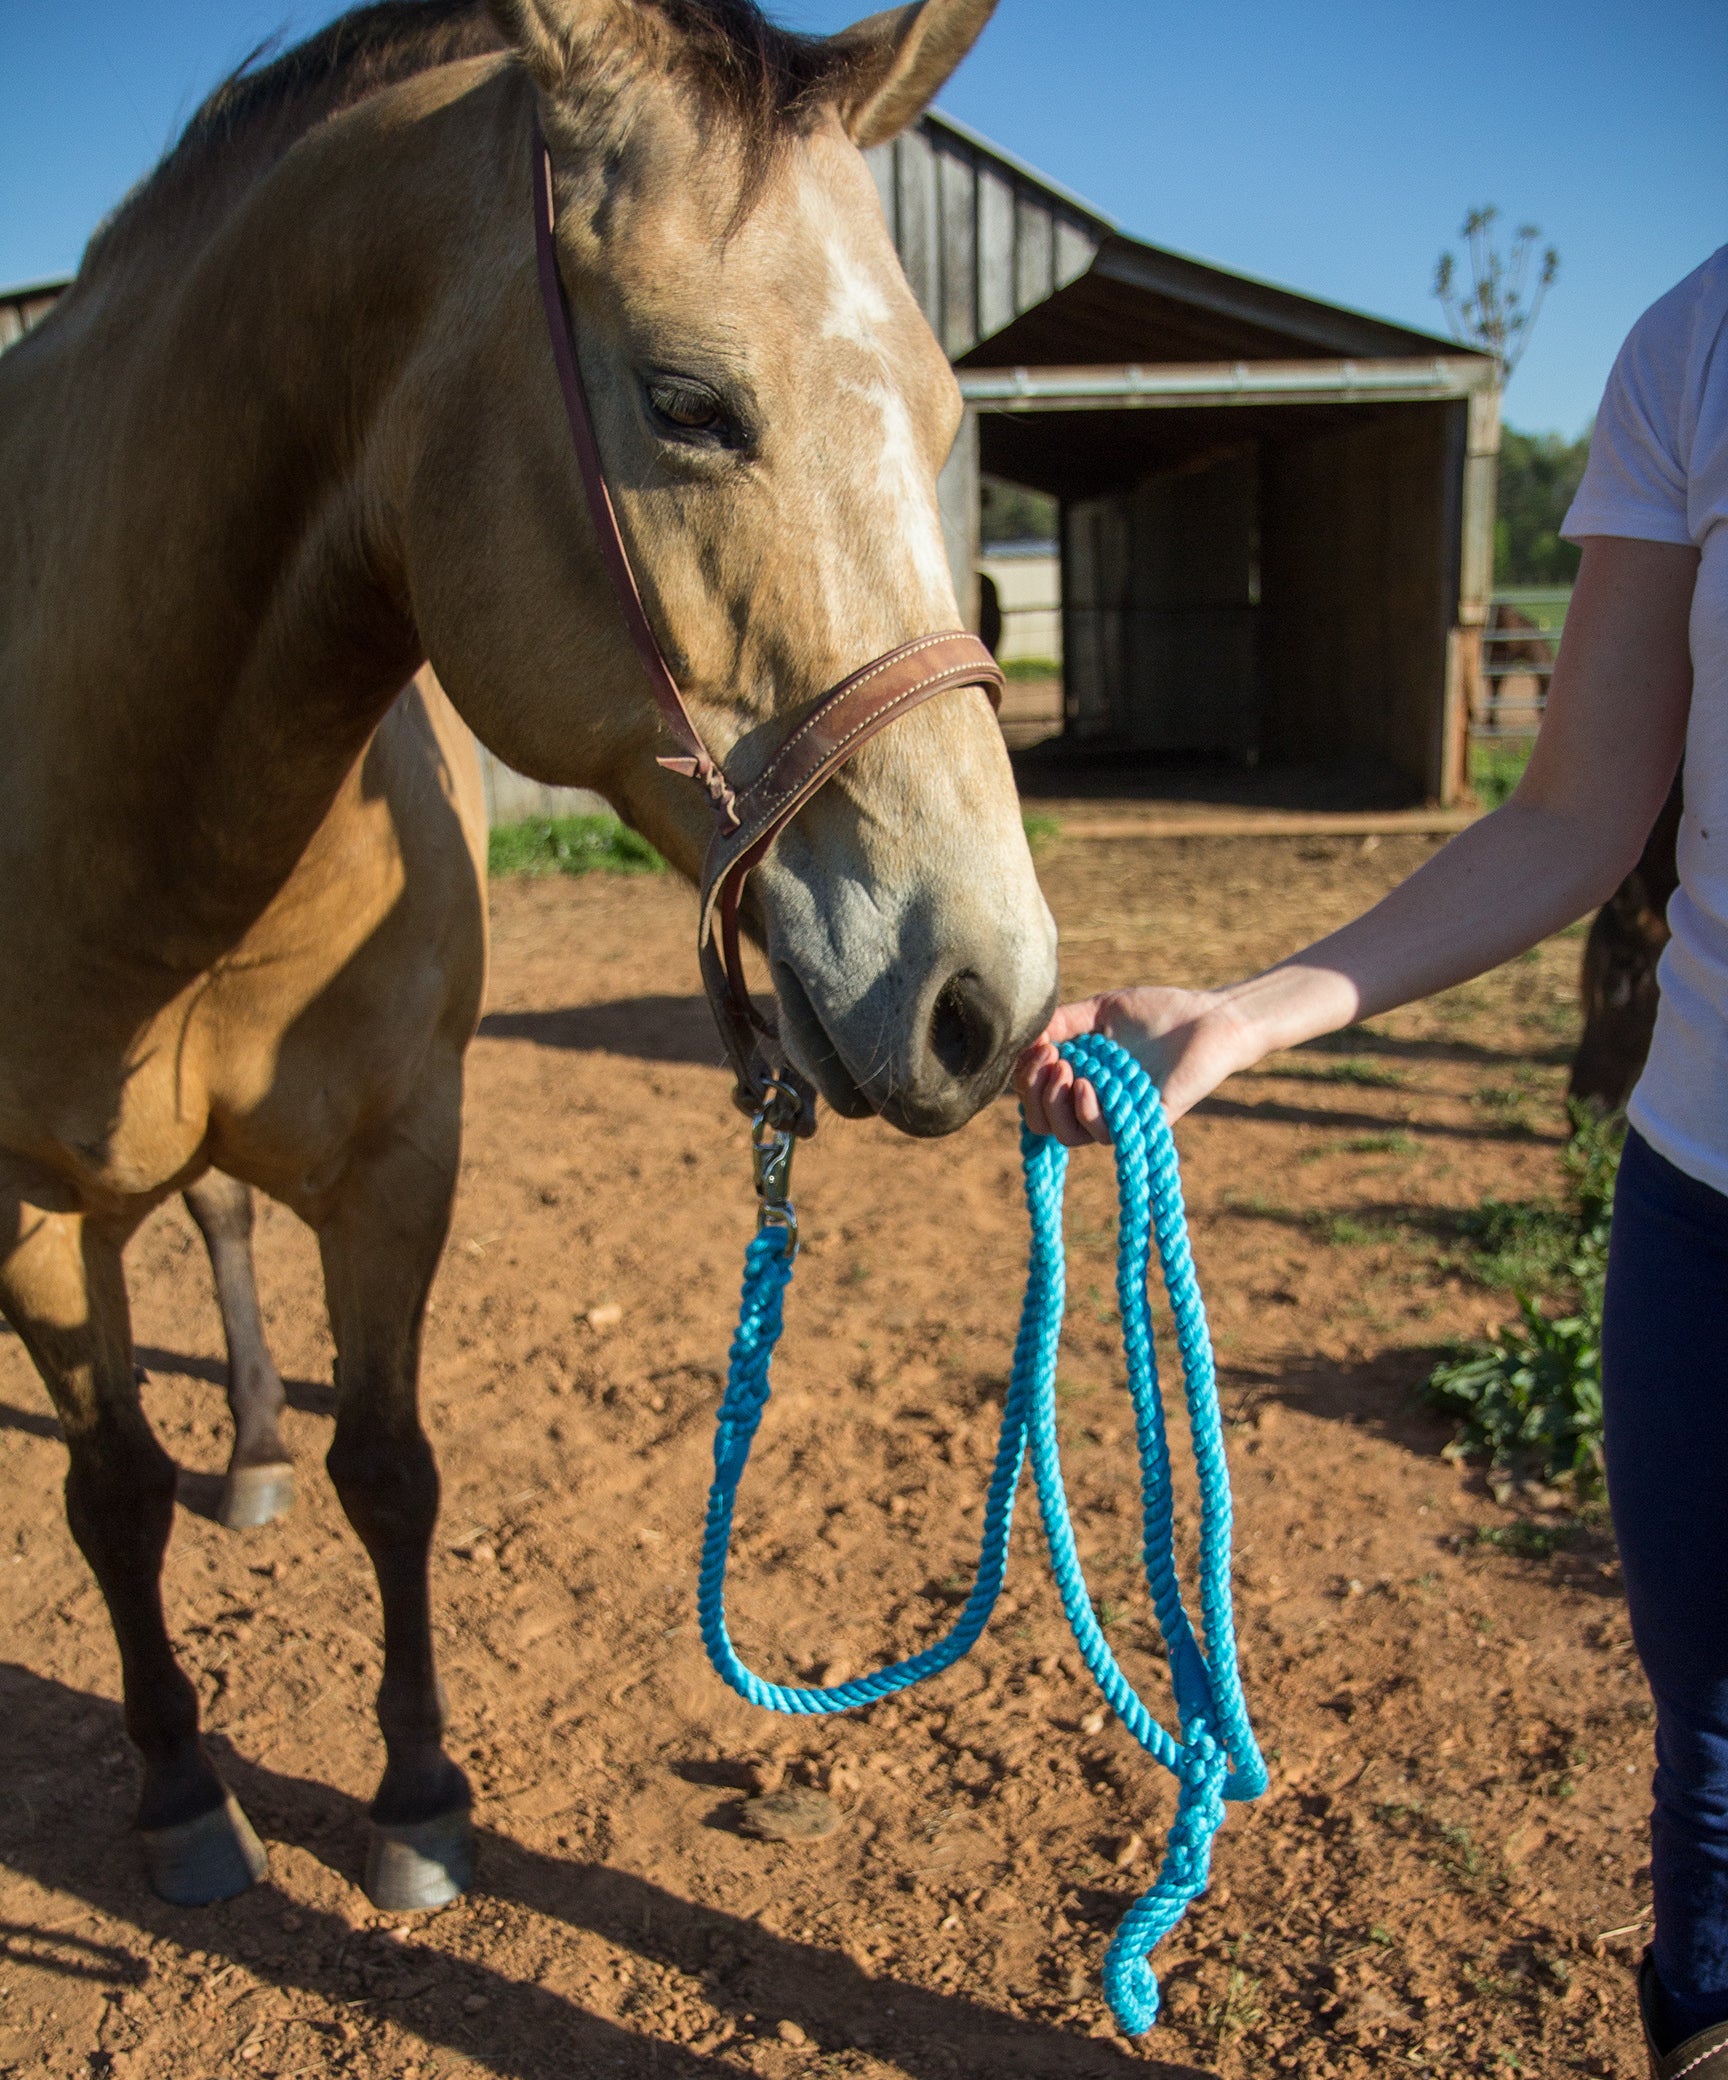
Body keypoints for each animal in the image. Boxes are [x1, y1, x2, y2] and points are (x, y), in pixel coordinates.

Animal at [0, 0, 1055, 1914]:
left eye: (950, 416)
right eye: (687, 402)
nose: (988, 998)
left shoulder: (400, 1151)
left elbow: (392, 1468)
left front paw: (418, 1796)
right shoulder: (23, 1203)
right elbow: (106, 1494)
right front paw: (184, 1791)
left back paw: (250, 1451)